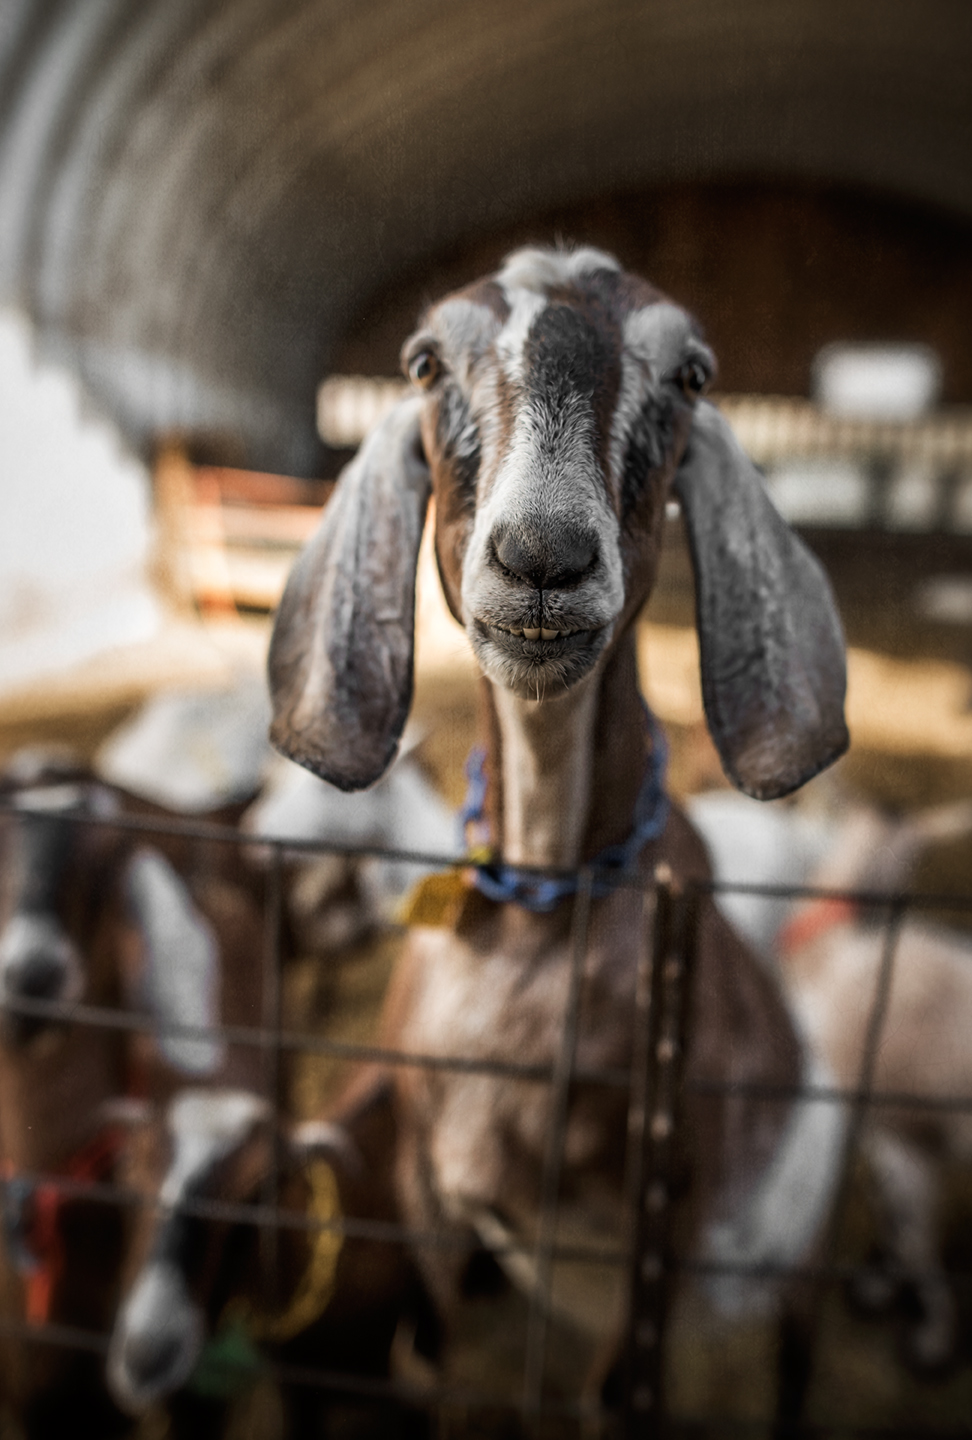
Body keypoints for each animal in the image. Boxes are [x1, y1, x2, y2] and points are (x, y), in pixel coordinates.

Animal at [267, 244, 850, 1424]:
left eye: (692, 375)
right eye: (424, 359)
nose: (543, 557)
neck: (541, 909)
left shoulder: (655, 1234)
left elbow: (609, 1393)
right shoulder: (430, 1189)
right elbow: (428, 1362)